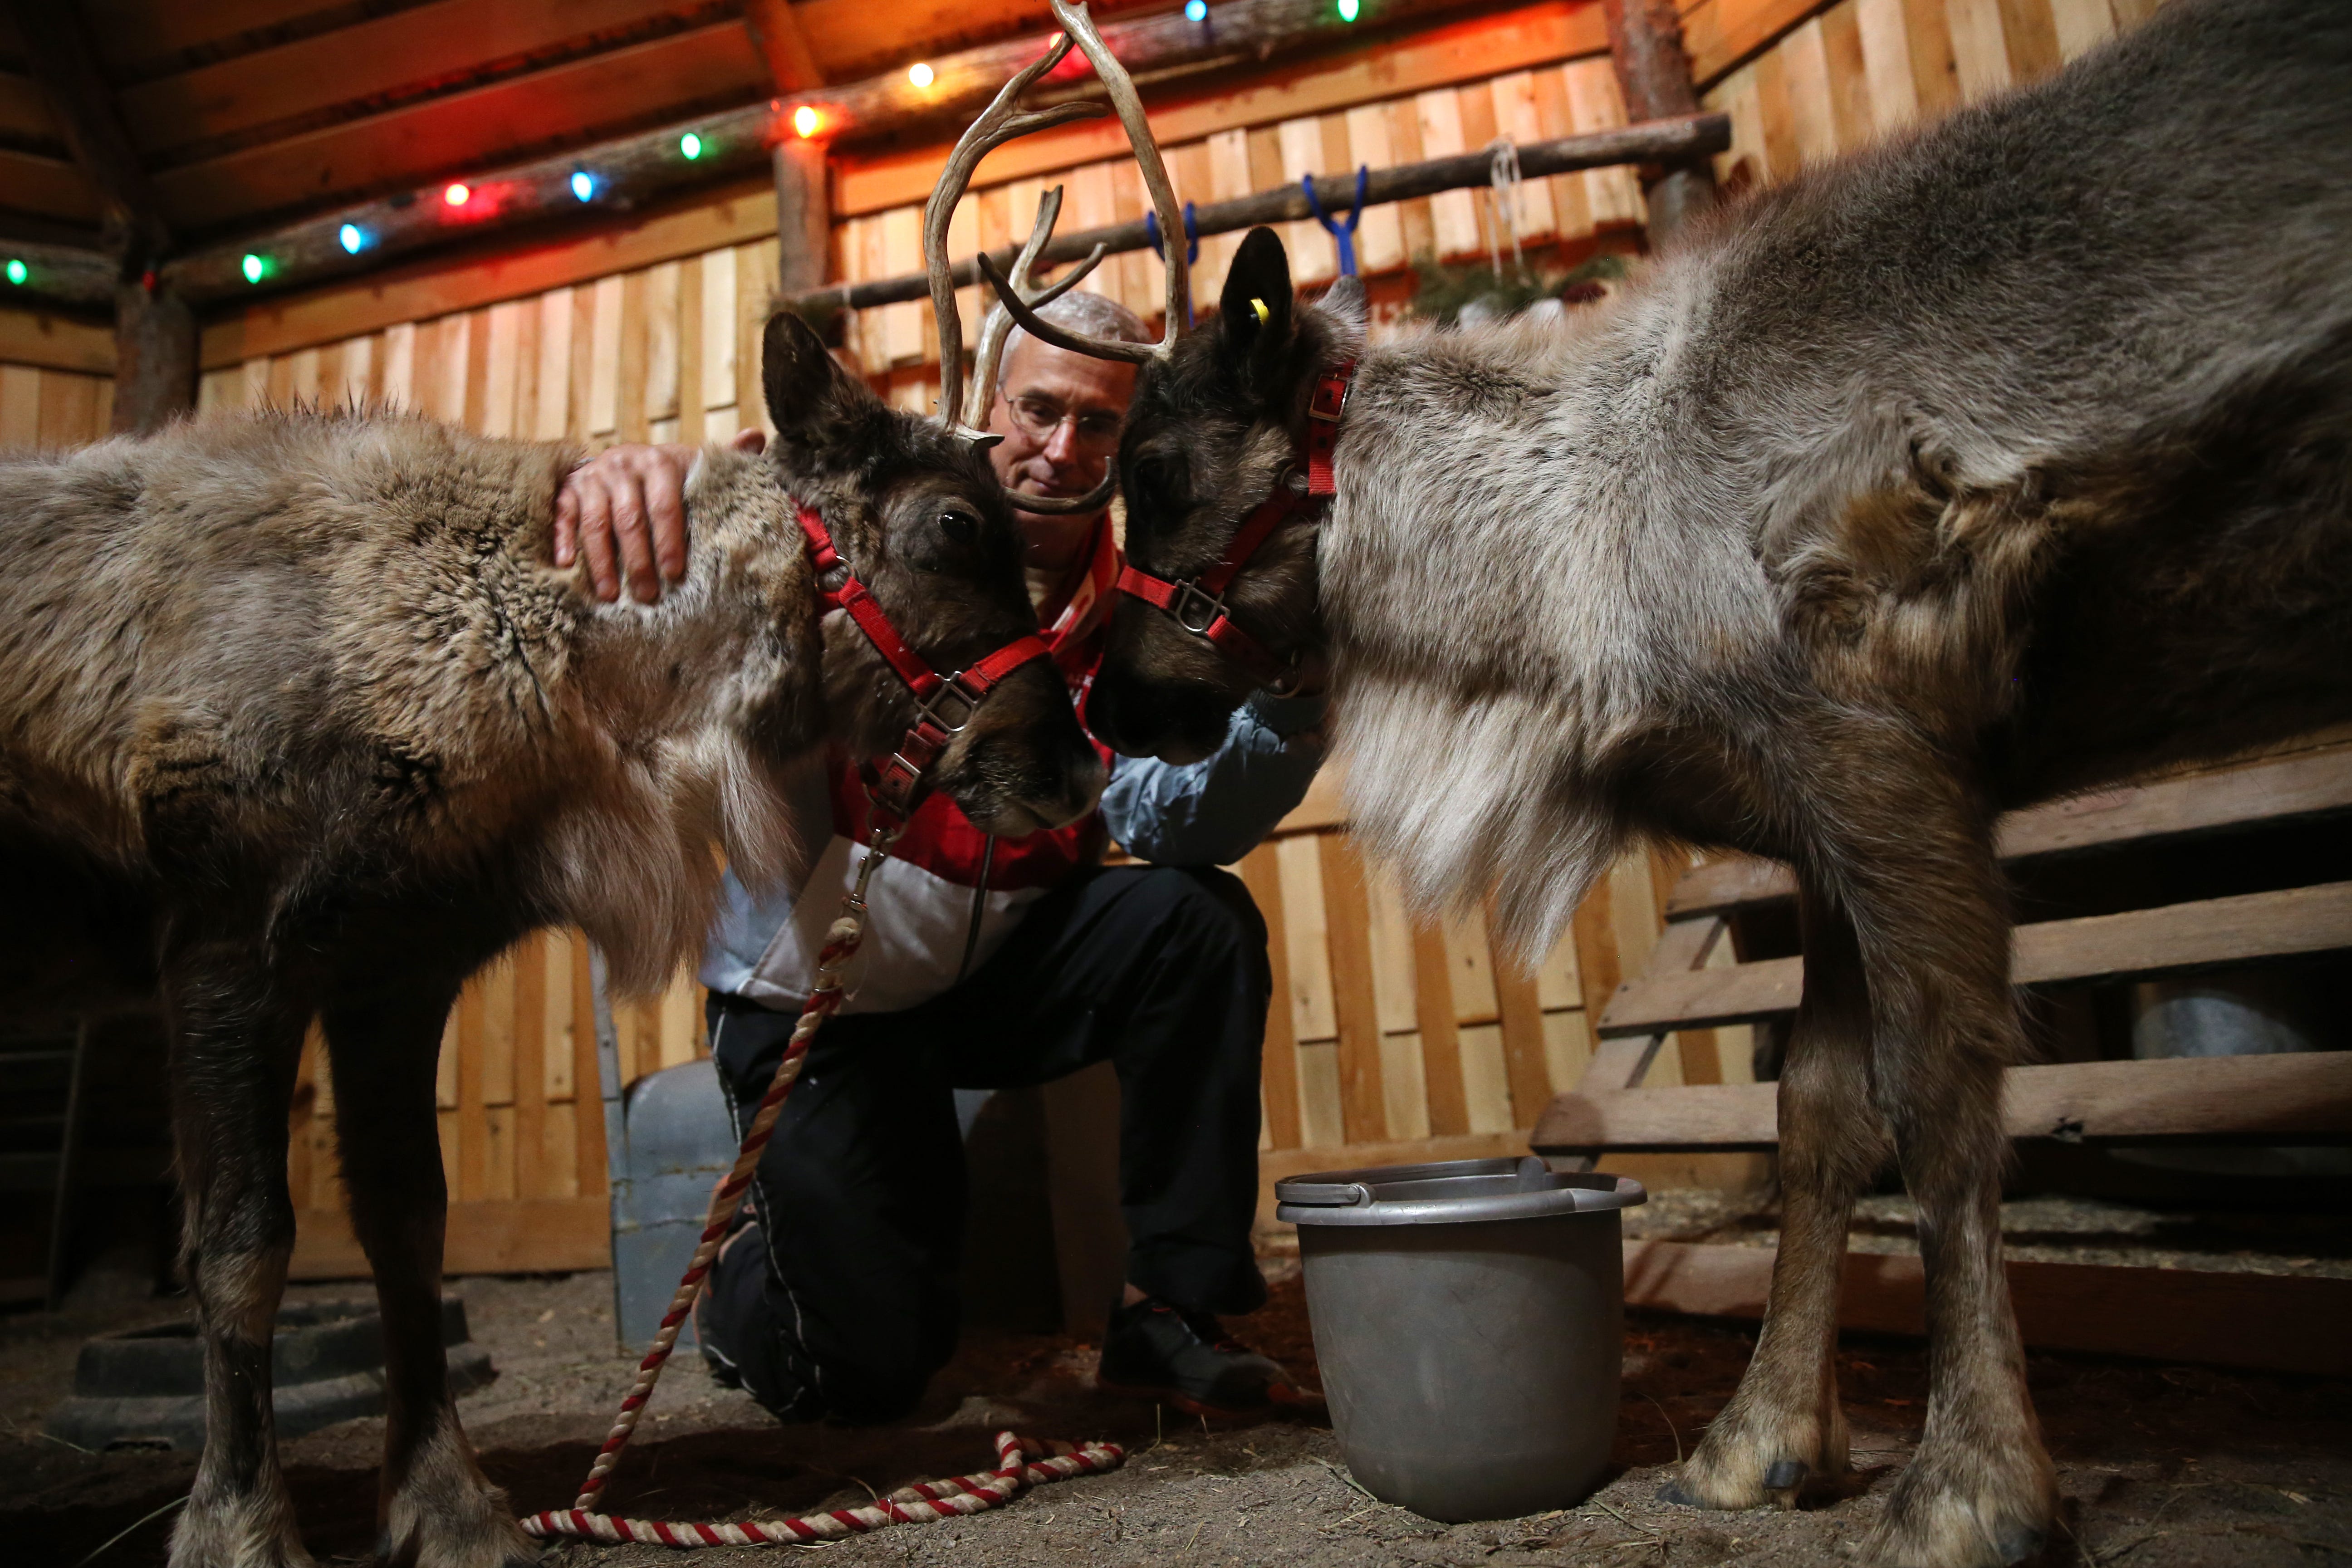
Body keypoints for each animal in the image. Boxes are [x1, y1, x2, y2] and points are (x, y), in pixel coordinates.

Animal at [0, 309, 1103, 1568]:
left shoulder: (394, 968)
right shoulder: (225, 945)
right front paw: (240, 1526)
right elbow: (241, 1247)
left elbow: (409, 1229)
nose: (1076, 768)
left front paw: (453, 1507)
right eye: (955, 524)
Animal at [966, 0, 2352, 1563]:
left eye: (1158, 466)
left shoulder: (1877, 749)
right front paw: (1762, 1443)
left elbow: (1938, 1099)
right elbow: (1816, 1118)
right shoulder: (1814, 828)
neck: (1575, 545)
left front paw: (1974, 1486)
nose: (1107, 707)